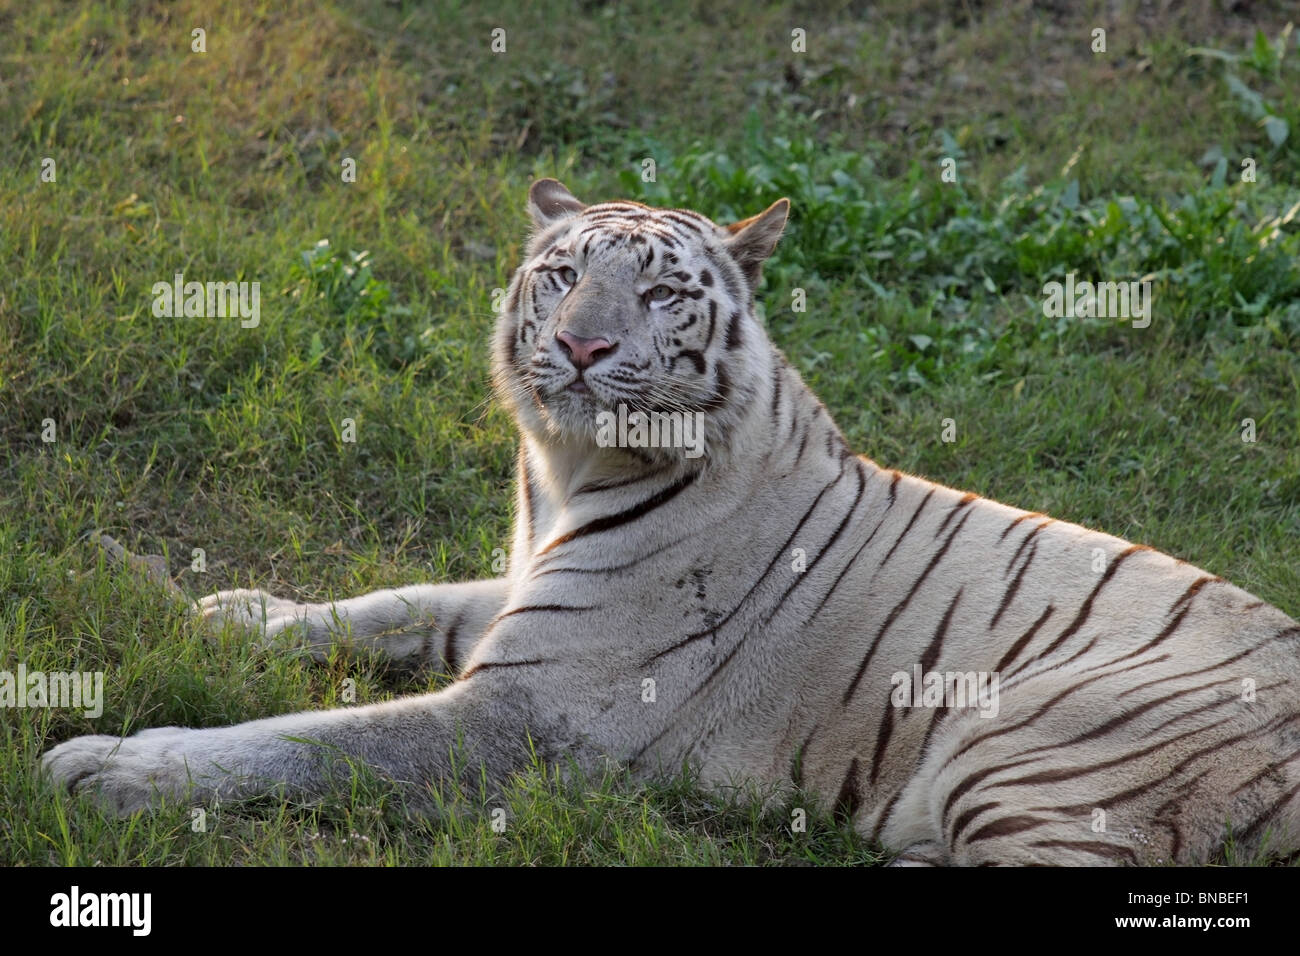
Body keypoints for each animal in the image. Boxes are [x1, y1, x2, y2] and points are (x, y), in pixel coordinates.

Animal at [41, 179, 1300, 867]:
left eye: (656, 293)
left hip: (1032, 752)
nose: (581, 344)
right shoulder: (517, 598)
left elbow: (307, 740)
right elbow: (382, 604)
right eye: (561, 276)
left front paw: (110, 763)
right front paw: (214, 606)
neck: (563, 473)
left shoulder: (525, 708)